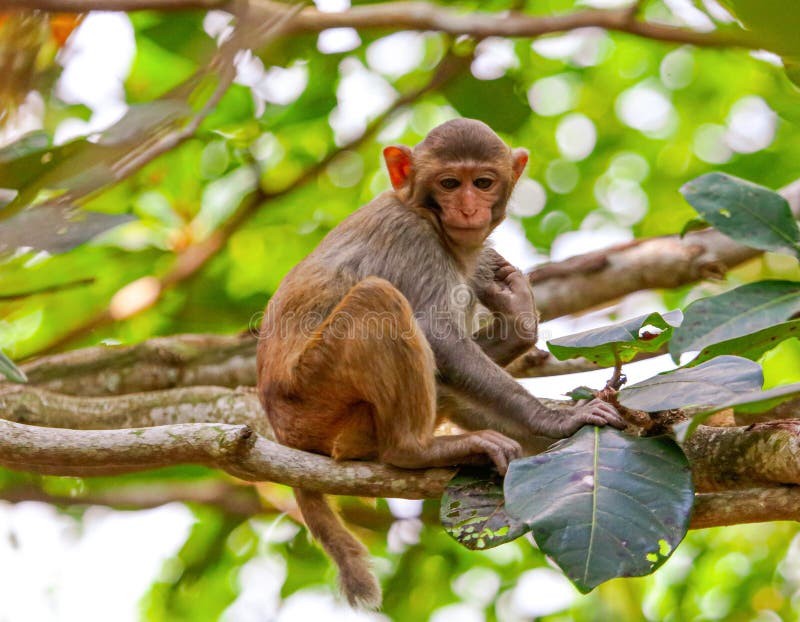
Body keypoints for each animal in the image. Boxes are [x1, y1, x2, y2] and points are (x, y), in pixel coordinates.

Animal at [256, 118, 624, 608]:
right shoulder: (411, 239)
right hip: (317, 400)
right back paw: (412, 449)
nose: (468, 208)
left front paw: (520, 319)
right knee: (379, 300)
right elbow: (439, 337)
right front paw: (557, 421)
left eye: (483, 182)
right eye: (449, 184)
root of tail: (284, 431)